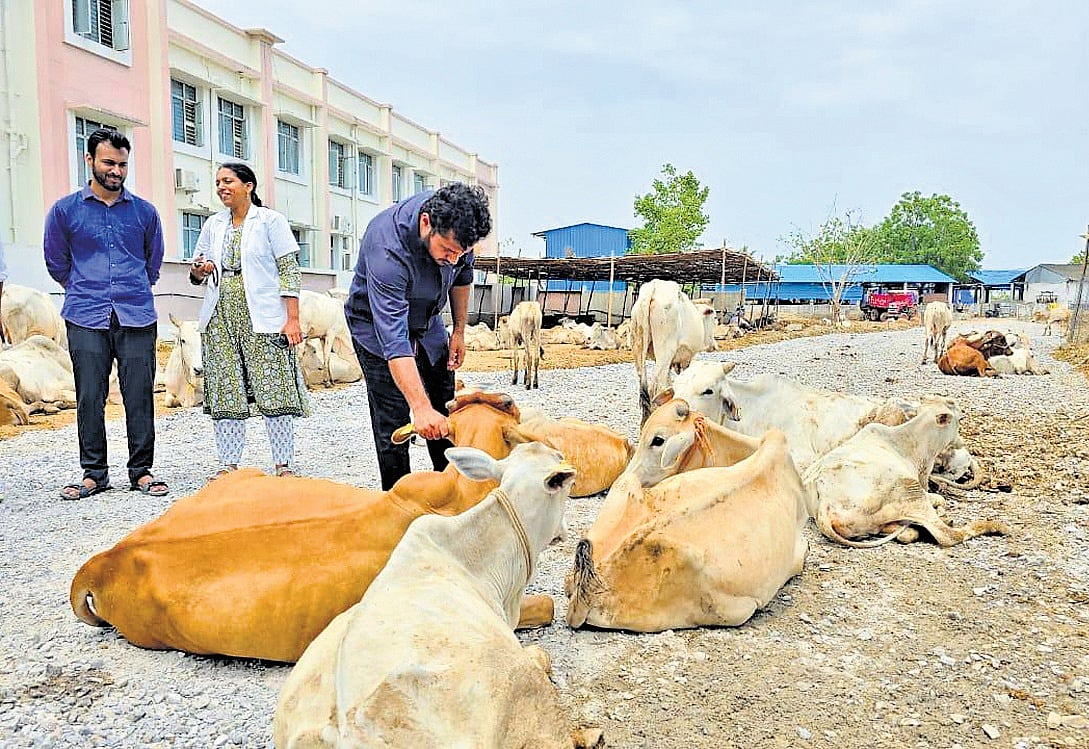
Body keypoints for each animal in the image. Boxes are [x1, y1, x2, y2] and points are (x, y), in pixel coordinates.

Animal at [630, 279, 717, 421]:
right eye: (715, 318)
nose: (714, 345)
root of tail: (654, 286)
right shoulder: (686, 358)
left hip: (638, 348)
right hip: (665, 353)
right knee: (656, 389)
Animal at [802, 396, 1009, 547]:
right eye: (959, 419)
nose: (961, 442)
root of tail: (824, 504)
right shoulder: (920, 486)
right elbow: (939, 500)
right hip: (910, 491)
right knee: (947, 535)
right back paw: (997, 526)